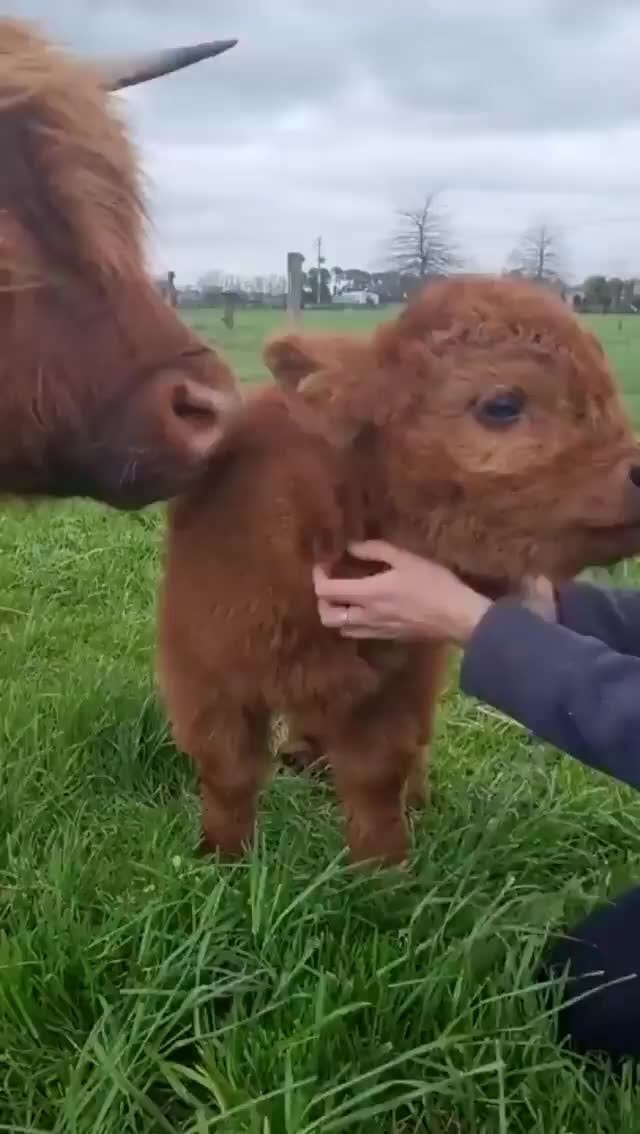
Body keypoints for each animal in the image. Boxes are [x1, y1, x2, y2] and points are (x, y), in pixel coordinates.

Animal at [156, 274, 640, 868]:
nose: (639, 471)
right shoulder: (203, 673)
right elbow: (228, 772)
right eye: (502, 404)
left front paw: (381, 869)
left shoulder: (396, 685)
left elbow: (377, 776)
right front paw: (222, 858)